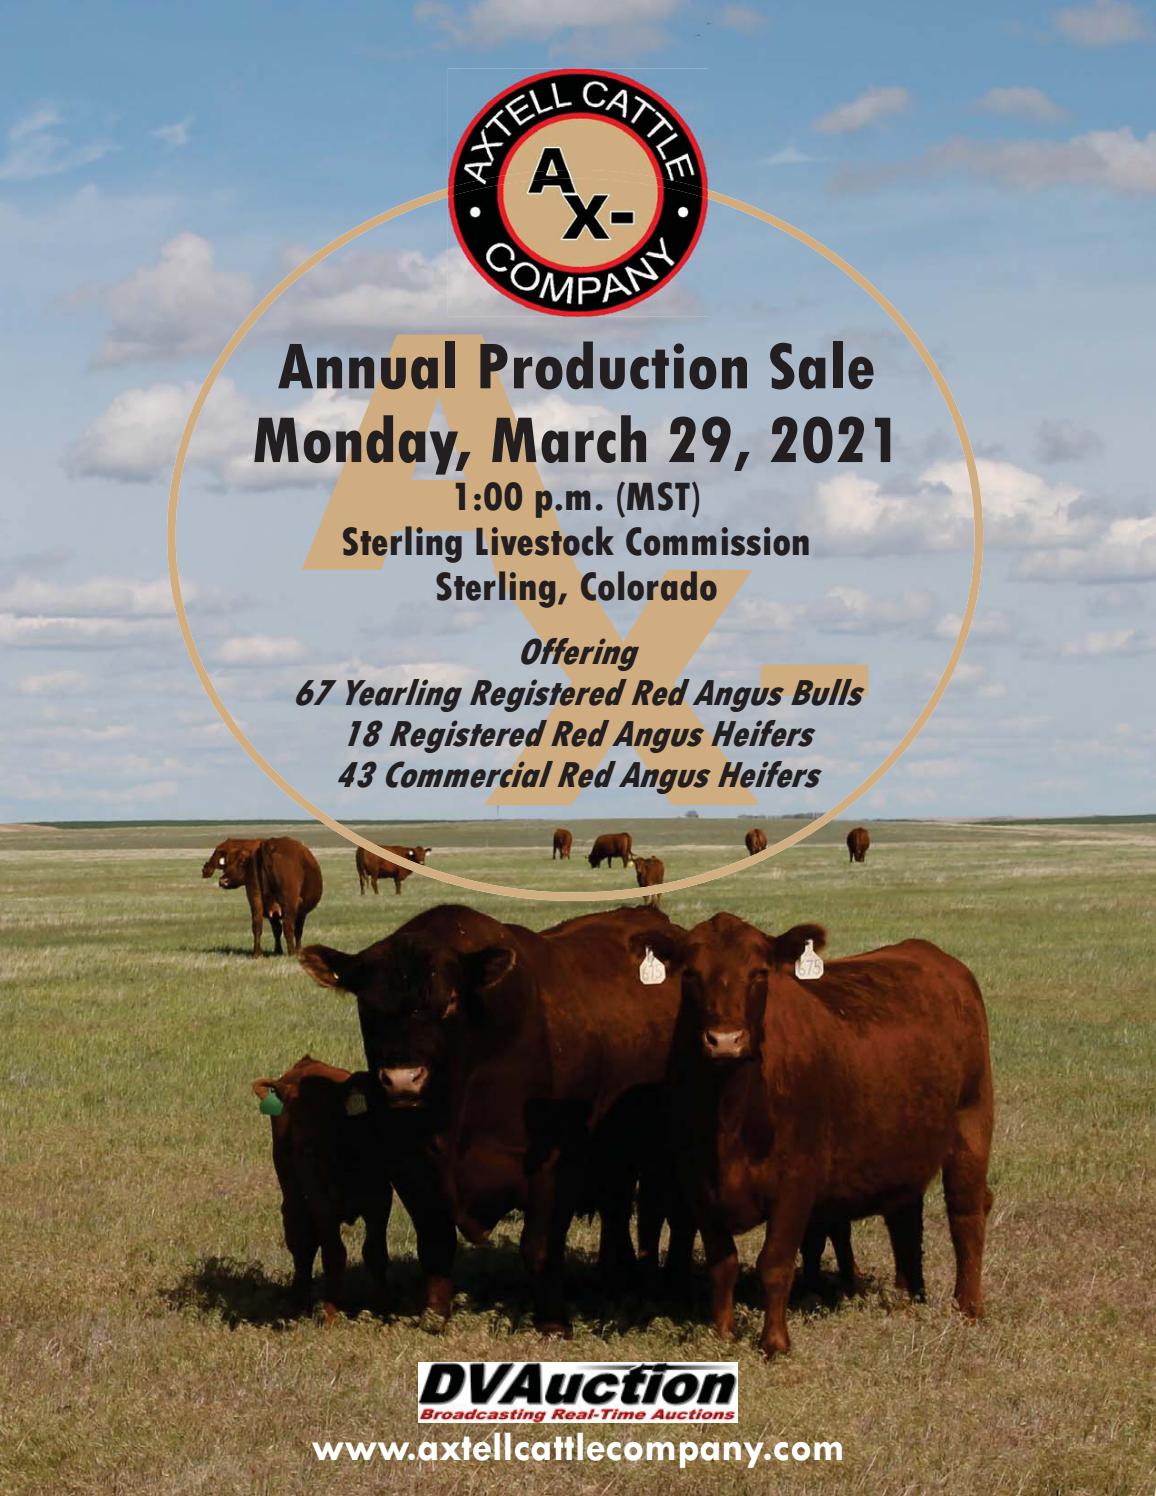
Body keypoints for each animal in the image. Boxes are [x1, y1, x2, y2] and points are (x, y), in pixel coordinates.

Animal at [252, 1055, 392, 1322]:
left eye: (329, 1111)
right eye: (293, 1115)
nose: (304, 1146)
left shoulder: (380, 1199)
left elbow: (375, 1252)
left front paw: (383, 1308)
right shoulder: (321, 1202)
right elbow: (334, 1254)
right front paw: (330, 1316)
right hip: (293, 1192)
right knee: (300, 1240)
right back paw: (298, 1301)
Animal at [300, 903, 688, 1331]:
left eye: (450, 1000)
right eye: (367, 1005)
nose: (403, 1079)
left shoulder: (553, 1164)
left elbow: (539, 1248)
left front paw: (553, 1323)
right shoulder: (411, 1166)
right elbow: (435, 1244)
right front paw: (434, 1316)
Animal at [636, 914, 994, 1358]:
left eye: (759, 973)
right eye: (690, 974)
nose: (725, 1041)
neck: (729, 1112)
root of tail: (930, 954)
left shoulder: (796, 1181)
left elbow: (775, 1262)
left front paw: (775, 1342)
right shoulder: (697, 1182)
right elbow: (723, 1262)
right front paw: (722, 1333)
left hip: (972, 1121)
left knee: (966, 1213)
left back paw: (968, 1307)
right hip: (904, 1147)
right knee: (905, 1218)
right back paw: (908, 1298)